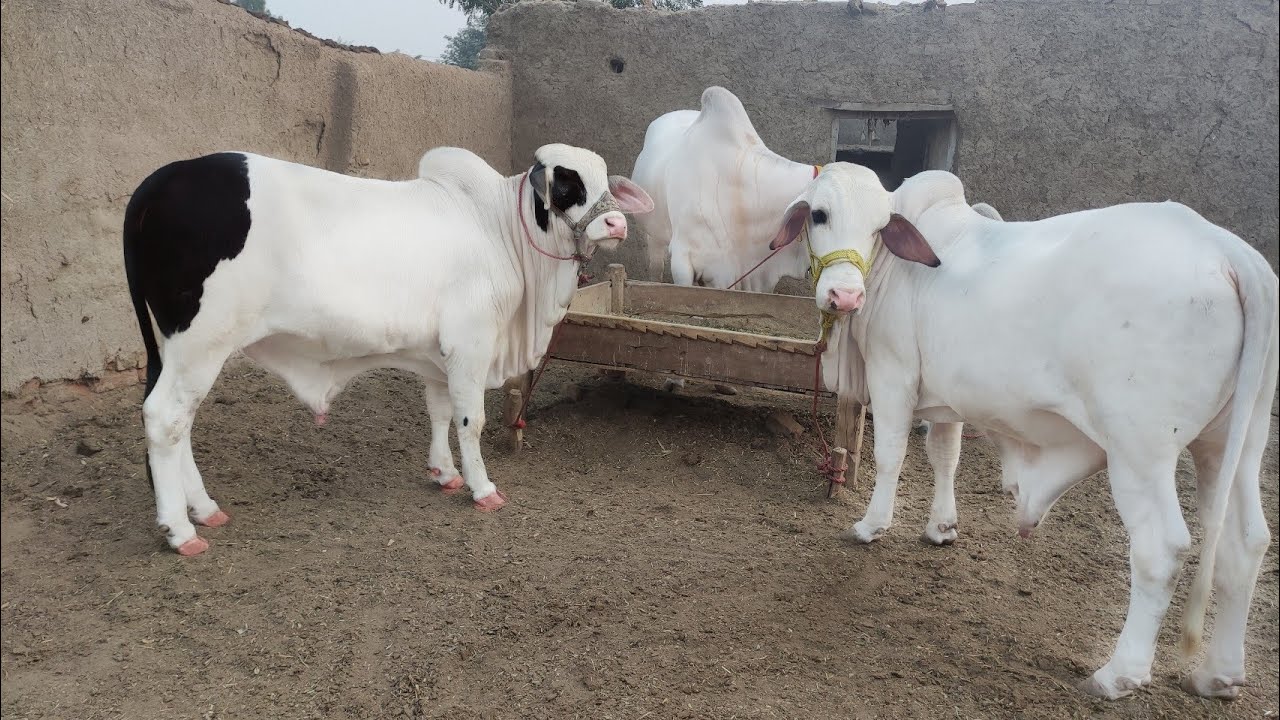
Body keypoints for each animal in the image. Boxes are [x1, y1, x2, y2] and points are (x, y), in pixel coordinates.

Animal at [122, 144, 653, 556]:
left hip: (178, 349)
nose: (615, 223)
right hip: (200, 343)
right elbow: (471, 421)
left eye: (604, 177)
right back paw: (180, 529)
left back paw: (203, 508)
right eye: (565, 183)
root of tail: (161, 179)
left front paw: (444, 472)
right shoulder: (471, 341)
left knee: (178, 425)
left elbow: (440, 412)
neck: (496, 227)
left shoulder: (439, 356)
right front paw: (482, 487)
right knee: (164, 418)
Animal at [767, 163, 1278, 699]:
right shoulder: (949, 398)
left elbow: (891, 455)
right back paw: (1218, 673)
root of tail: (1227, 250)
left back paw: (1119, 673)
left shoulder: (894, 374)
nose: (845, 296)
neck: (892, 269)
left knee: (1162, 549)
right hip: (1232, 445)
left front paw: (872, 525)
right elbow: (945, 454)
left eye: (879, 226)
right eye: (819, 214)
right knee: (1246, 543)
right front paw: (942, 526)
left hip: (1141, 451)